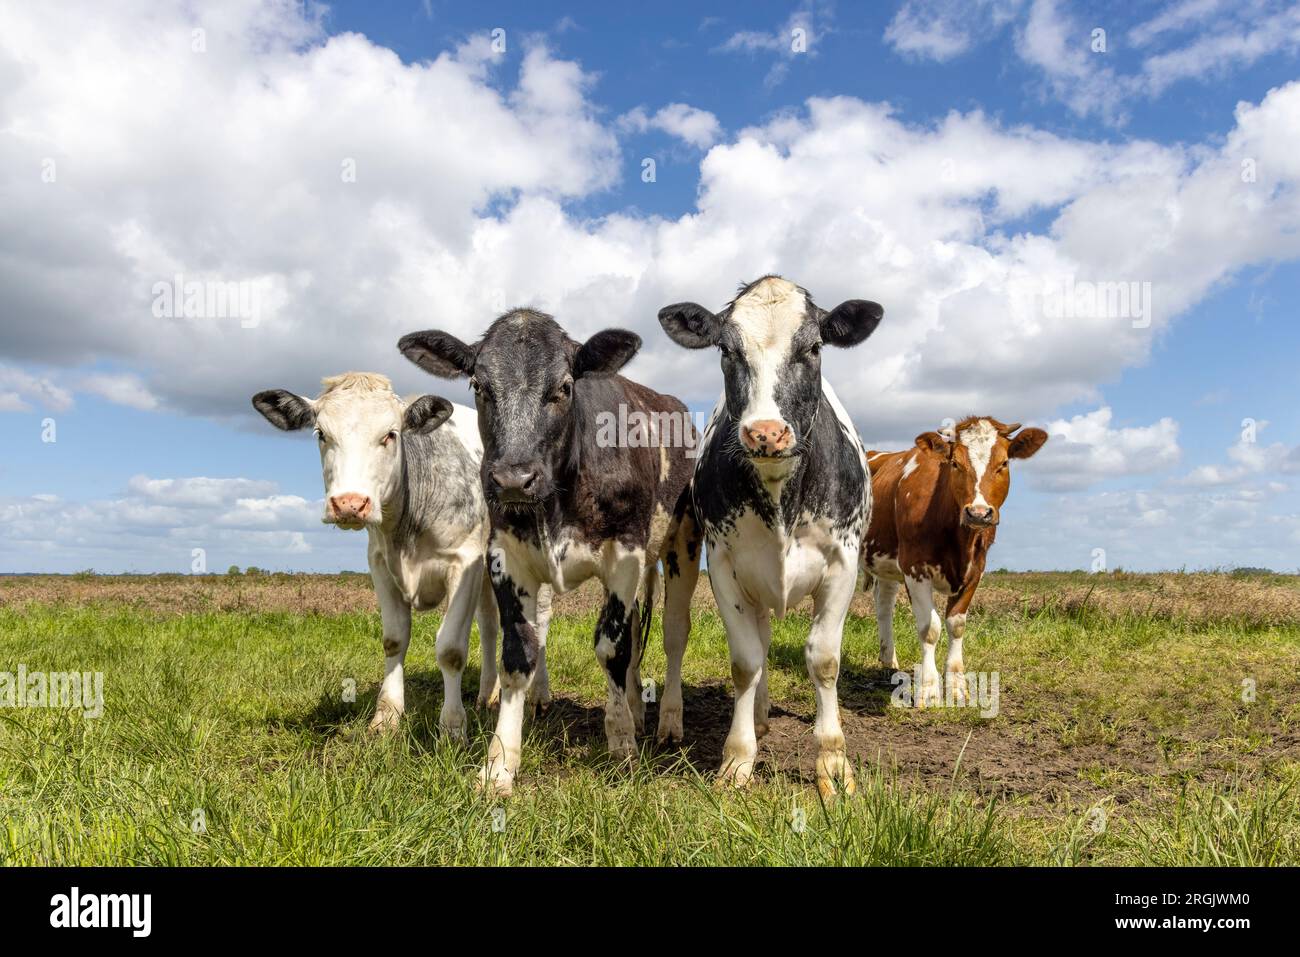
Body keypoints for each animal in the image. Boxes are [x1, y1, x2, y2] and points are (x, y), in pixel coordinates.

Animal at [251, 372, 554, 739]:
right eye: (321, 434)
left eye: (390, 434)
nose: (349, 504)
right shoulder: (380, 564)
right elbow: (394, 640)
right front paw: (387, 716)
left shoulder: (463, 563)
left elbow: (451, 648)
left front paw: (452, 727)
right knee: (488, 624)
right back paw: (487, 694)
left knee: (540, 622)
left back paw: (538, 697)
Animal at [398, 310, 702, 797]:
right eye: (479, 385)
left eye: (563, 387)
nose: (513, 480)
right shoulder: (506, 558)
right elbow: (519, 654)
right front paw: (499, 764)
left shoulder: (624, 557)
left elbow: (611, 649)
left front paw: (621, 747)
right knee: (638, 630)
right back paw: (637, 710)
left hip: (682, 543)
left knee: (673, 632)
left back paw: (668, 722)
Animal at [657, 276, 883, 798]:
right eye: (725, 349)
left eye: (814, 347)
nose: (765, 433)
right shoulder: (723, 565)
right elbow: (745, 660)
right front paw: (738, 758)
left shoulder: (844, 563)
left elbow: (824, 660)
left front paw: (833, 763)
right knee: (717, 638)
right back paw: (715, 720)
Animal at [863, 416, 1047, 707]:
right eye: (955, 463)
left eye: (1003, 463)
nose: (979, 513)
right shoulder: (915, 569)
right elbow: (930, 628)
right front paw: (928, 689)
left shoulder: (975, 571)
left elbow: (956, 625)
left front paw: (957, 686)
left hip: (884, 562)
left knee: (884, 605)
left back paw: (888, 659)